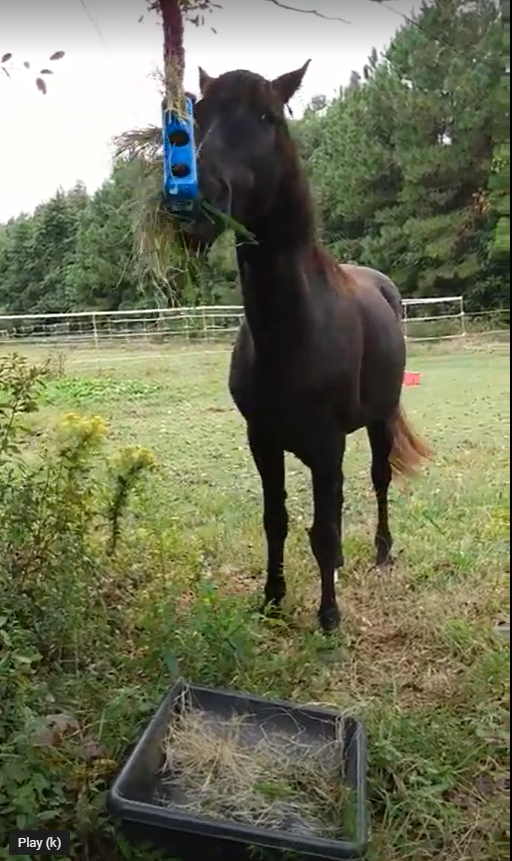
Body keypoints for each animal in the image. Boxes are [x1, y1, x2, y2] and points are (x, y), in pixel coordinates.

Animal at [185, 61, 430, 633]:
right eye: (198, 114)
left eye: (267, 116)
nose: (198, 202)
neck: (291, 329)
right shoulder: (262, 440)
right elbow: (276, 520)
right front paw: (272, 600)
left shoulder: (326, 443)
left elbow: (324, 528)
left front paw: (329, 616)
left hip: (379, 420)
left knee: (379, 480)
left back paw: (382, 551)